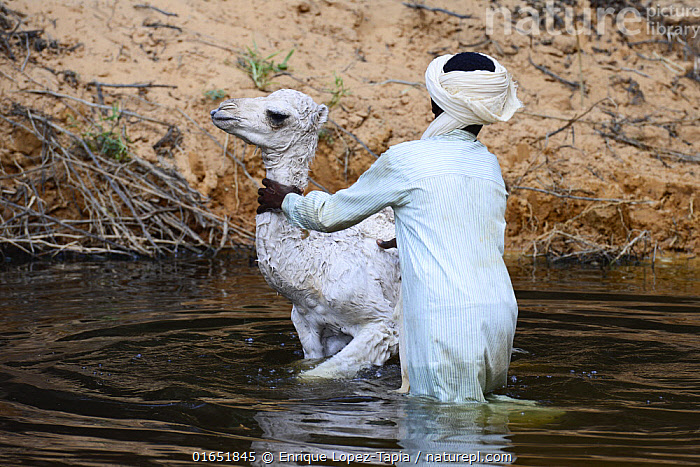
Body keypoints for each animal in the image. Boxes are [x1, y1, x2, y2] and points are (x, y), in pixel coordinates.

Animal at [211, 89, 406, 381]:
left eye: (277, 115)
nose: (222, 110)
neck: (310, 265)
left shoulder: (382, 324)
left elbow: (314, 376)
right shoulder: (309, 325)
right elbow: (308, 364)